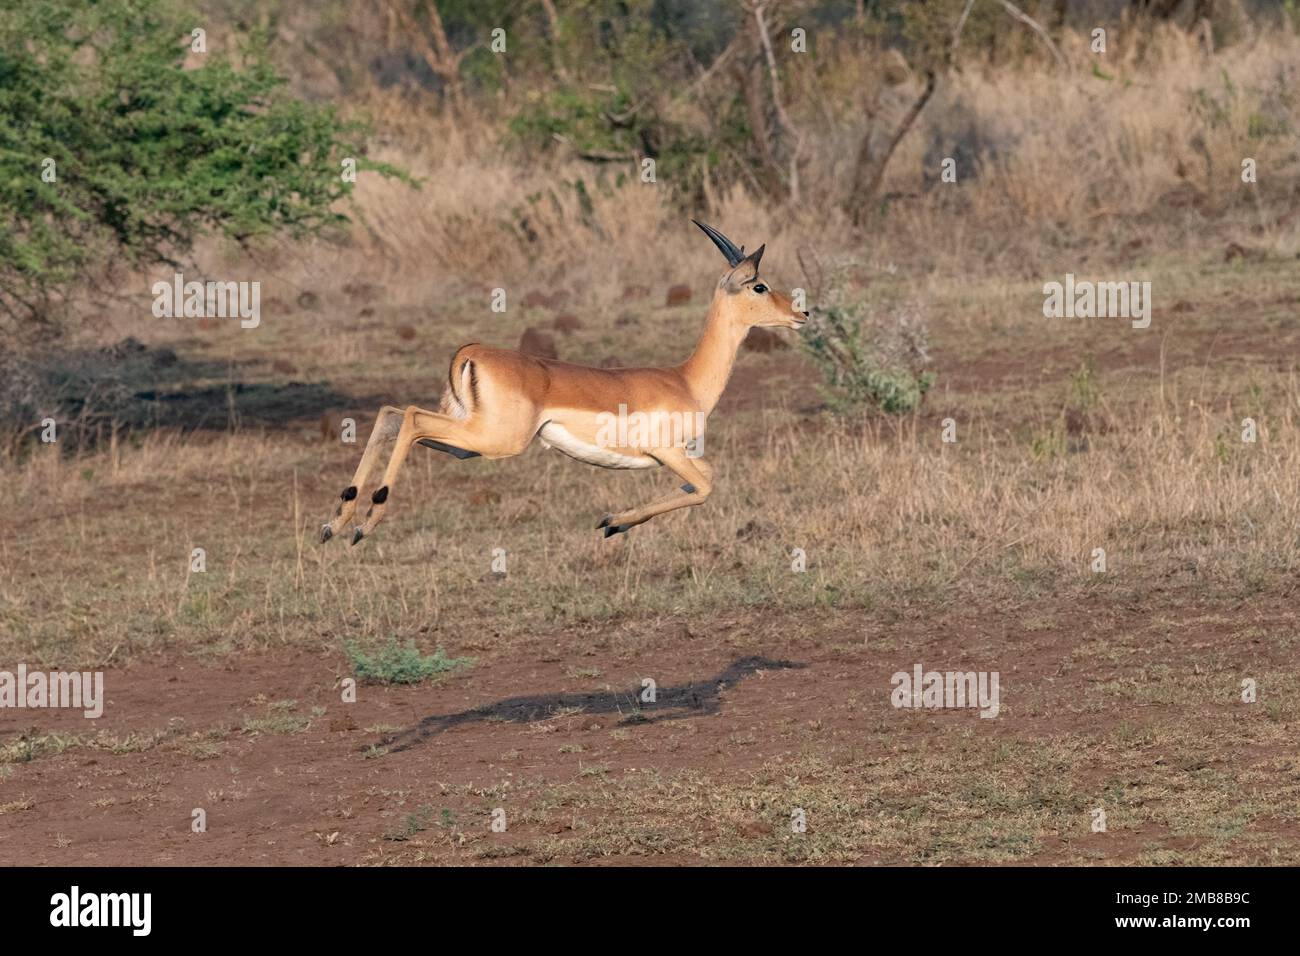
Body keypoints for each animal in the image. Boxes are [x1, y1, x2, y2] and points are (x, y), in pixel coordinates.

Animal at [320, 221, 808, 546]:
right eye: (760, 286)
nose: (801, 313)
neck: (685, 380)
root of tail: (471, 352)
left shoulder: (680, 457)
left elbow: (702, 480)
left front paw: (614, 520)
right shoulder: (667, 452)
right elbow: (705, 487)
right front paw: (612, 522)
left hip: (467, 439)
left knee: (391, 415)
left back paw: (336, 522)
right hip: (494, 439)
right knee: (411, 419)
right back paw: (364, 522)